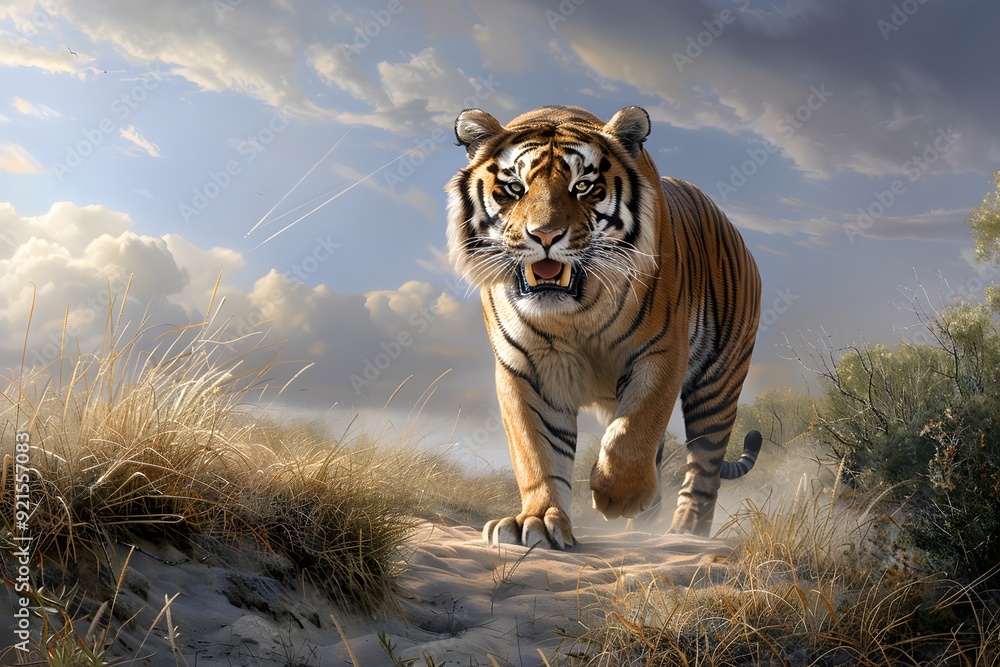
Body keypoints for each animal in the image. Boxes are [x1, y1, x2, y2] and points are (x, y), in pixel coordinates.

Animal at [445, 105, 763, 549]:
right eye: (514, 187)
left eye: (583, 186)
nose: (544, 235)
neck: (573, 313)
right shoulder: (525, 369)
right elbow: (536, 452)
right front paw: (537, 522)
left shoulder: (662, 351)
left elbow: (635, 427)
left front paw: (619, 494)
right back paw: (641, 528)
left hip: (718, 384)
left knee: (704, 470)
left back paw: (684, 533)